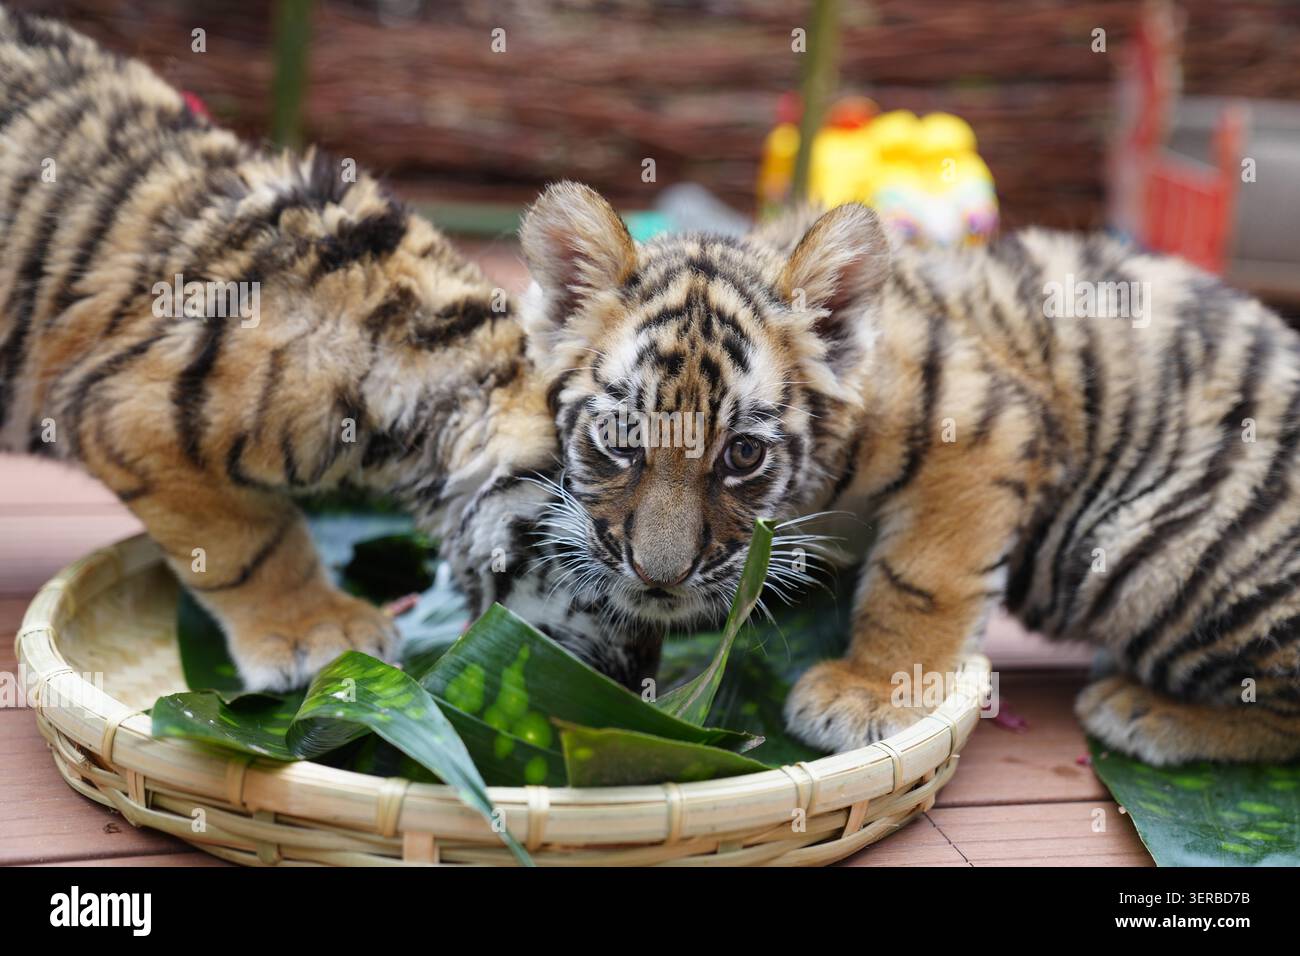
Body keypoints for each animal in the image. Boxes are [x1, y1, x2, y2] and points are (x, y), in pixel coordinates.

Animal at [513, 179, 1300, 766]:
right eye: (621, 436)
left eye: (743, 454)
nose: (659, 576)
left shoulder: (987, 434)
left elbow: (919, 580)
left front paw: (869, 694)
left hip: (1156, 554)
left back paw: (1143, 713)